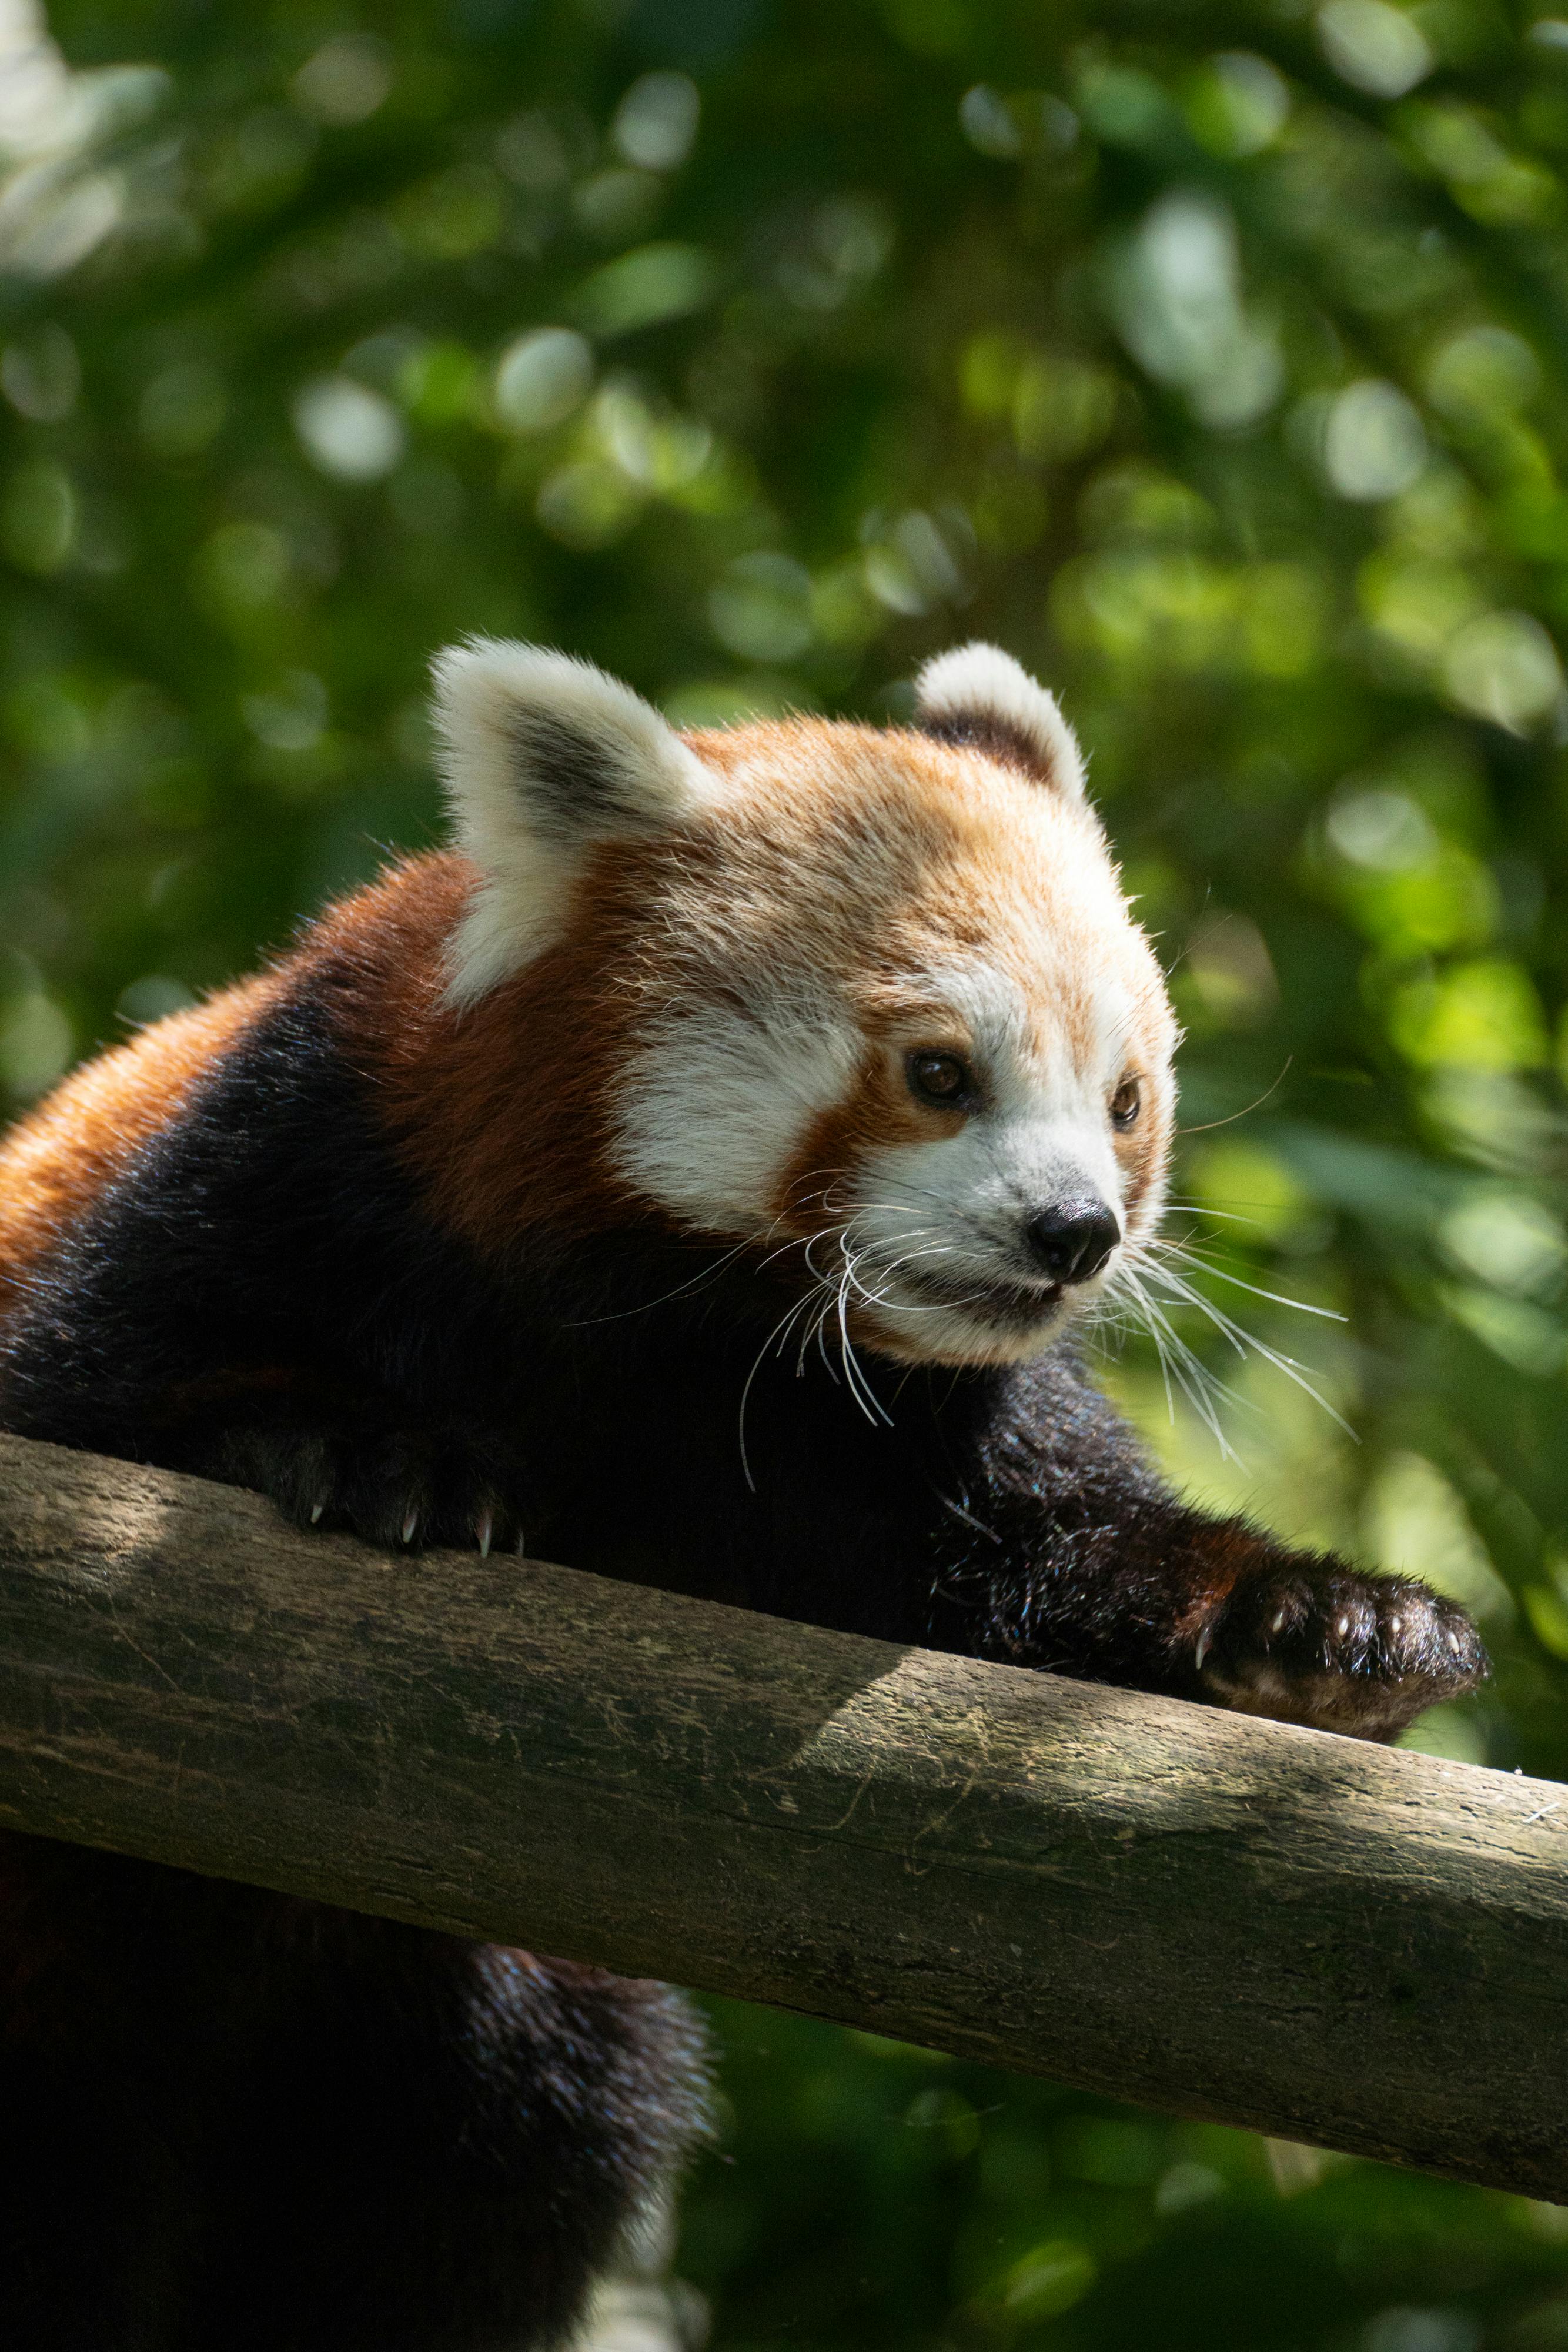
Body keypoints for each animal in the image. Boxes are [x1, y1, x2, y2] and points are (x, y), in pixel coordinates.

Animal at [0, 641, 1484, 2350]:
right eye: (937, 1074)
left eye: (1124, 1099)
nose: (1076, 1234)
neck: (688, 1335)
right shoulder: (282, 1158)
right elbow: (105, 1394)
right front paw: (366, 1448)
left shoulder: (902, 1437)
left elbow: (1048, 1560)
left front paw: (1326, 1630)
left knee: (519, 2134)